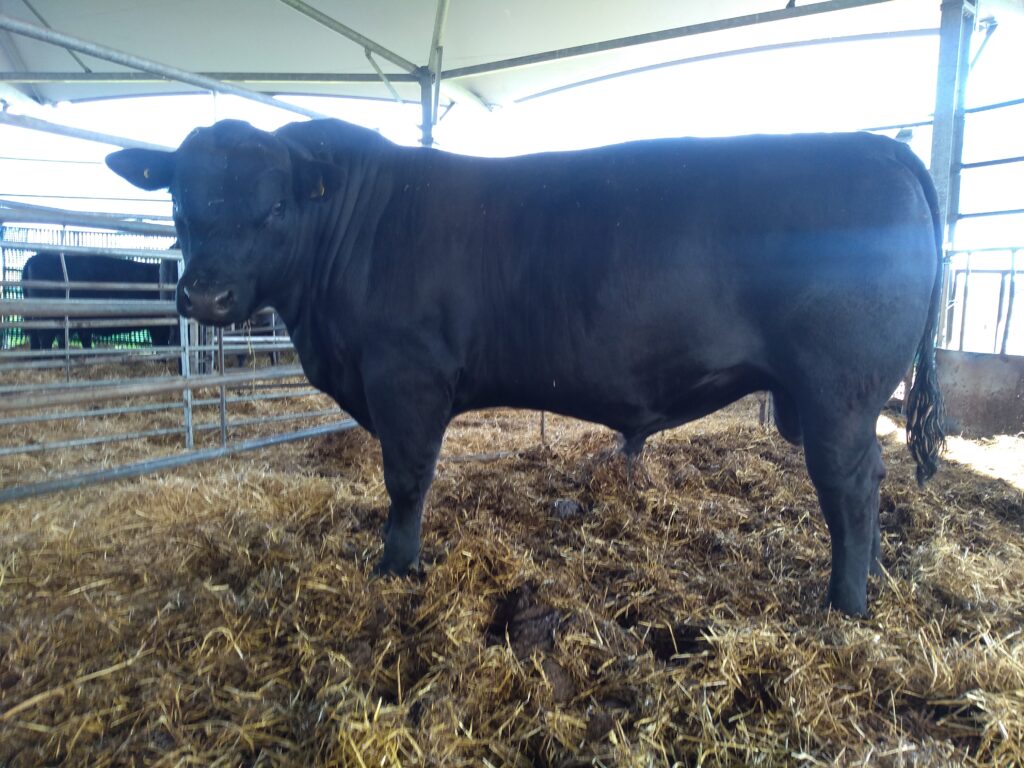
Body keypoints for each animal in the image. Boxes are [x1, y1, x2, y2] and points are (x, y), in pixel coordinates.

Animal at [106, 118, 944, 617]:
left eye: (275, 206)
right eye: (179, 200)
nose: (205, 294)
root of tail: (876, 143)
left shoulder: (406, 377)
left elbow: (406, 481)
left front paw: (395, 568)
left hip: (840, 391)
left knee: (852, 486)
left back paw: (844, 604)